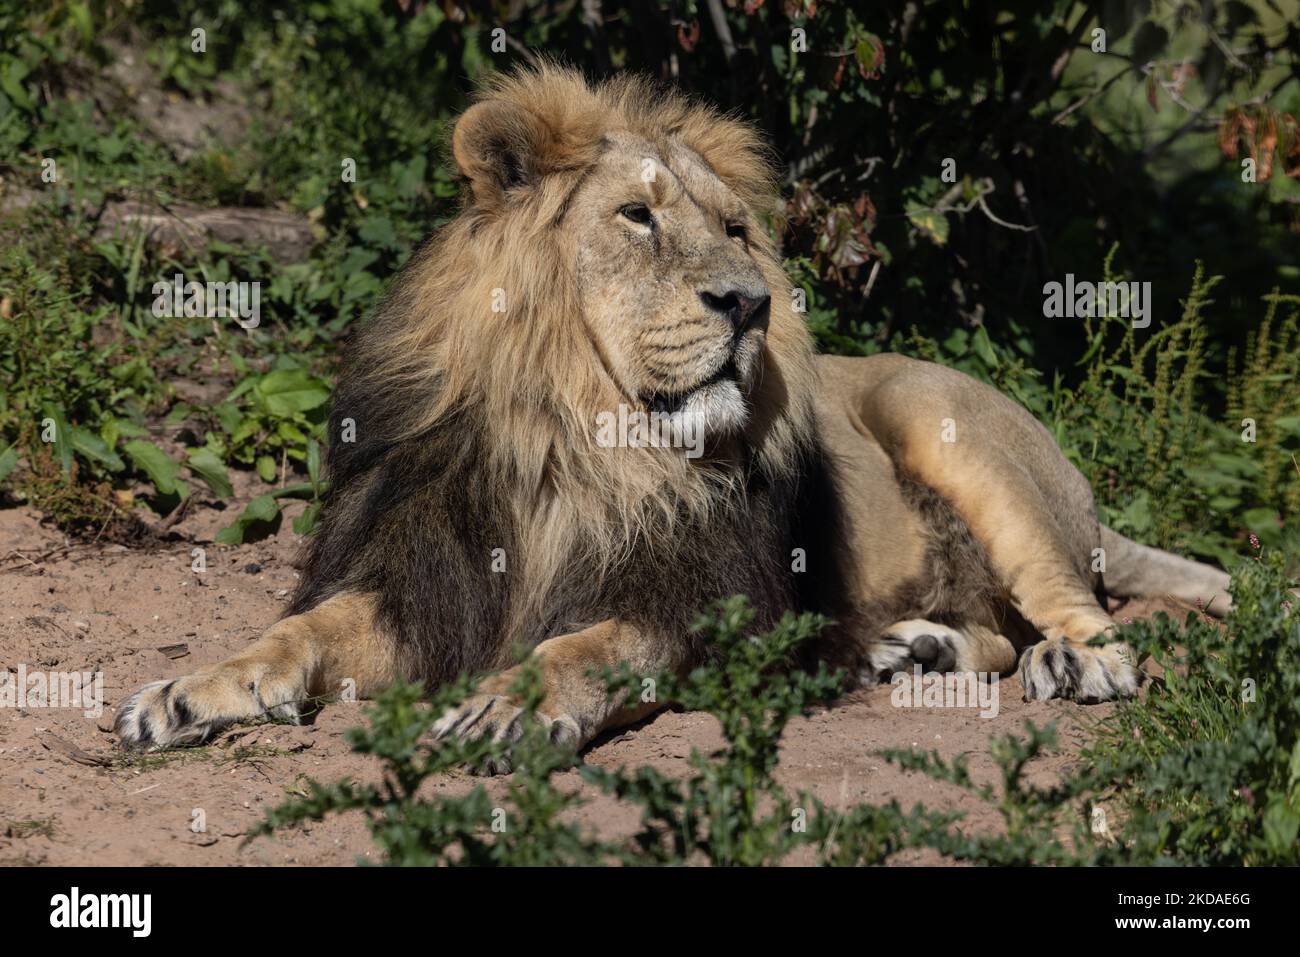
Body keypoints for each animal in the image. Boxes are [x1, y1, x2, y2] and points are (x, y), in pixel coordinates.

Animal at [116, 66, 1231, 765]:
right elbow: (294, 634)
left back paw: (1075, 659)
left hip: (942, 418)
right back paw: (914, 649)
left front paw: (505, 711)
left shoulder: (700, 606)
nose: (751, 302)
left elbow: (583, 648)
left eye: (734, 228)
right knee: (990, 632)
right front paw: (187, 692)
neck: (577, 438)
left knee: (1076, 610)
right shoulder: (422, 583)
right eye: (637, 215)